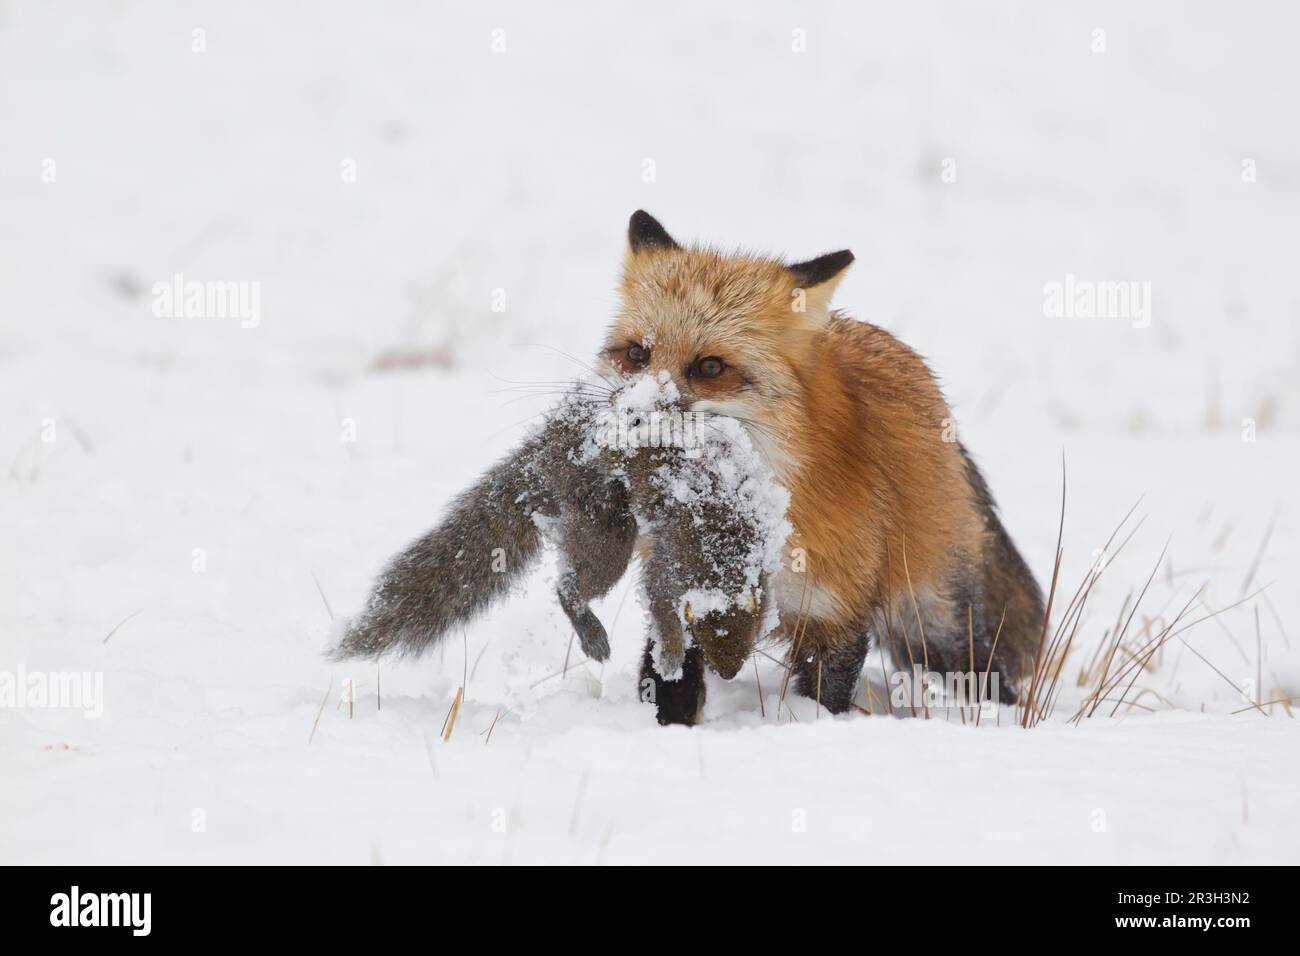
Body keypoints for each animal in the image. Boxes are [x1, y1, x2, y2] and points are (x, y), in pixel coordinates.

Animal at [600, 210, 1046, 718]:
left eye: (711, 367)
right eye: (637, 354)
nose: (633, 416)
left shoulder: (835, 614)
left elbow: (825, 699)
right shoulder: (683, 597)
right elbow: (669, 689)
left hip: (932, 622)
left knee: (983, 669)